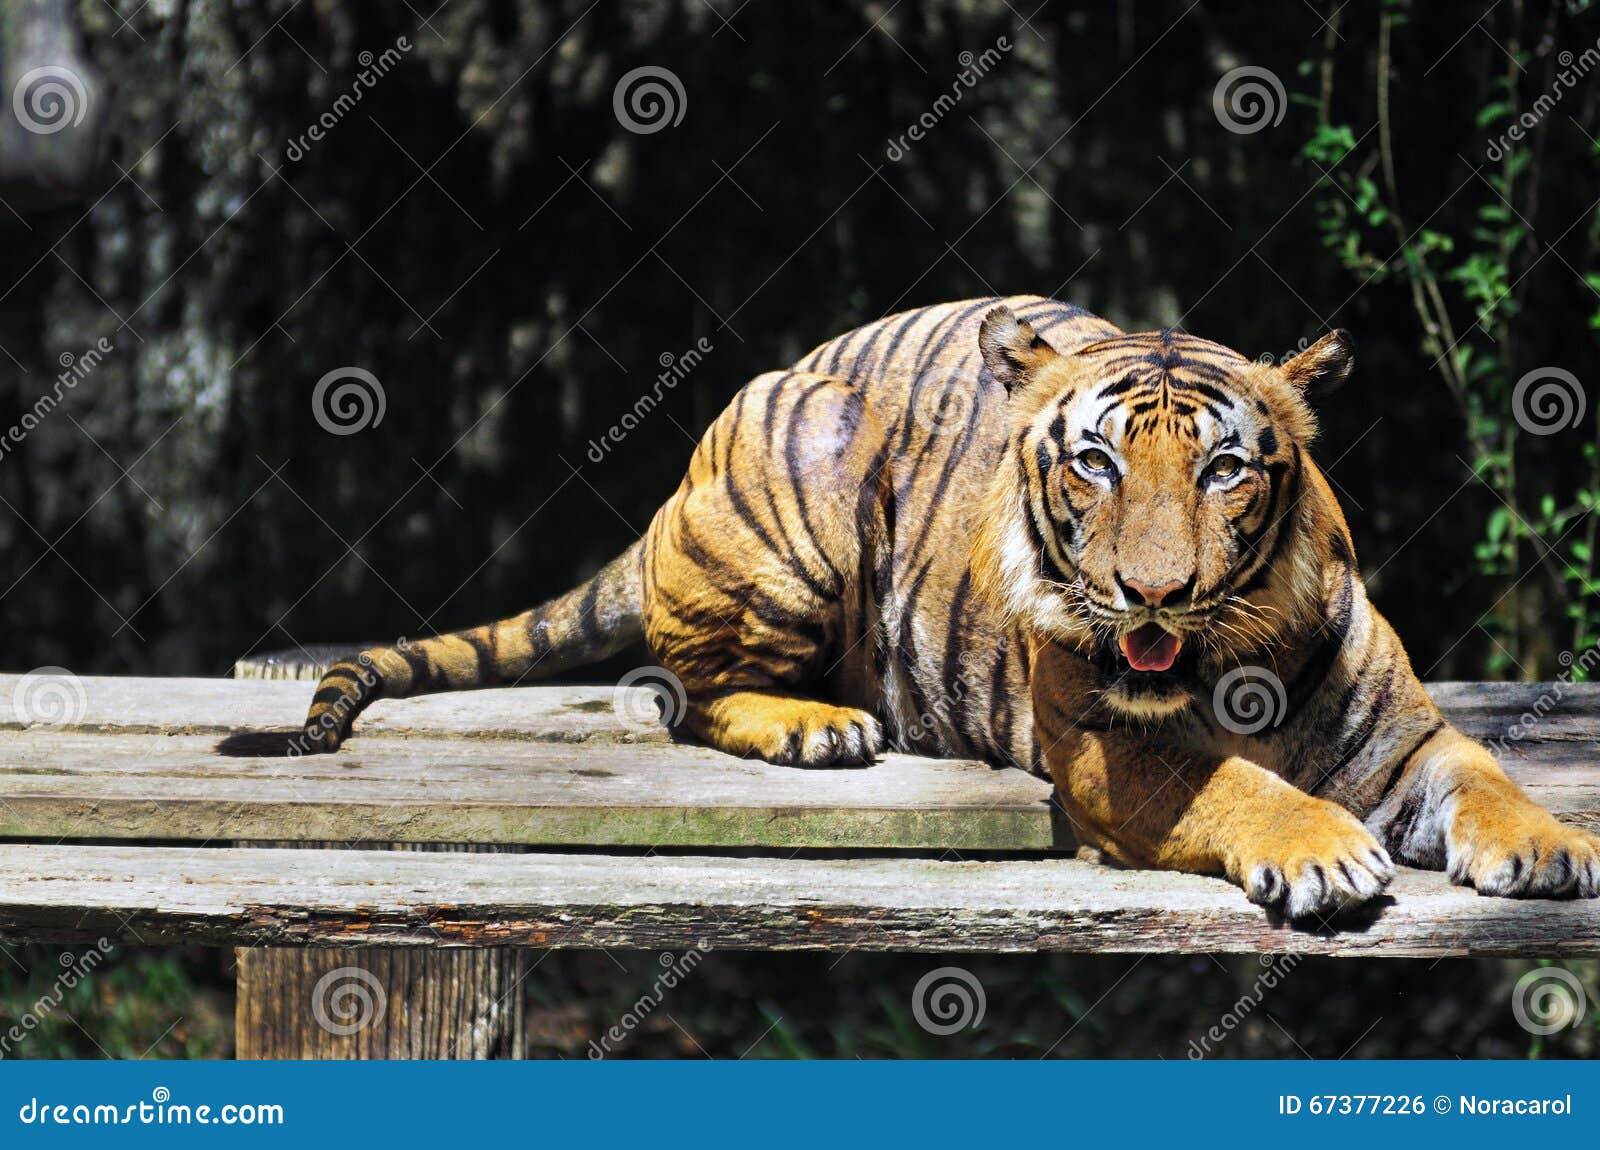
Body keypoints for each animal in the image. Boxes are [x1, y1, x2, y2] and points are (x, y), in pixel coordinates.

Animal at [301, 295, 1600, 919]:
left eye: (1226, 468)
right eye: (1097, 464)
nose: (1154, 593)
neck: (1234, 660)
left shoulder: (1407, 736)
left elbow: (1486, 773)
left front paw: (1549, 846)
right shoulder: (1111, 753)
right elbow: (1238, 783)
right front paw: (1325, 851)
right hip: (806, 487)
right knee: (686, 694)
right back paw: (817, 726)